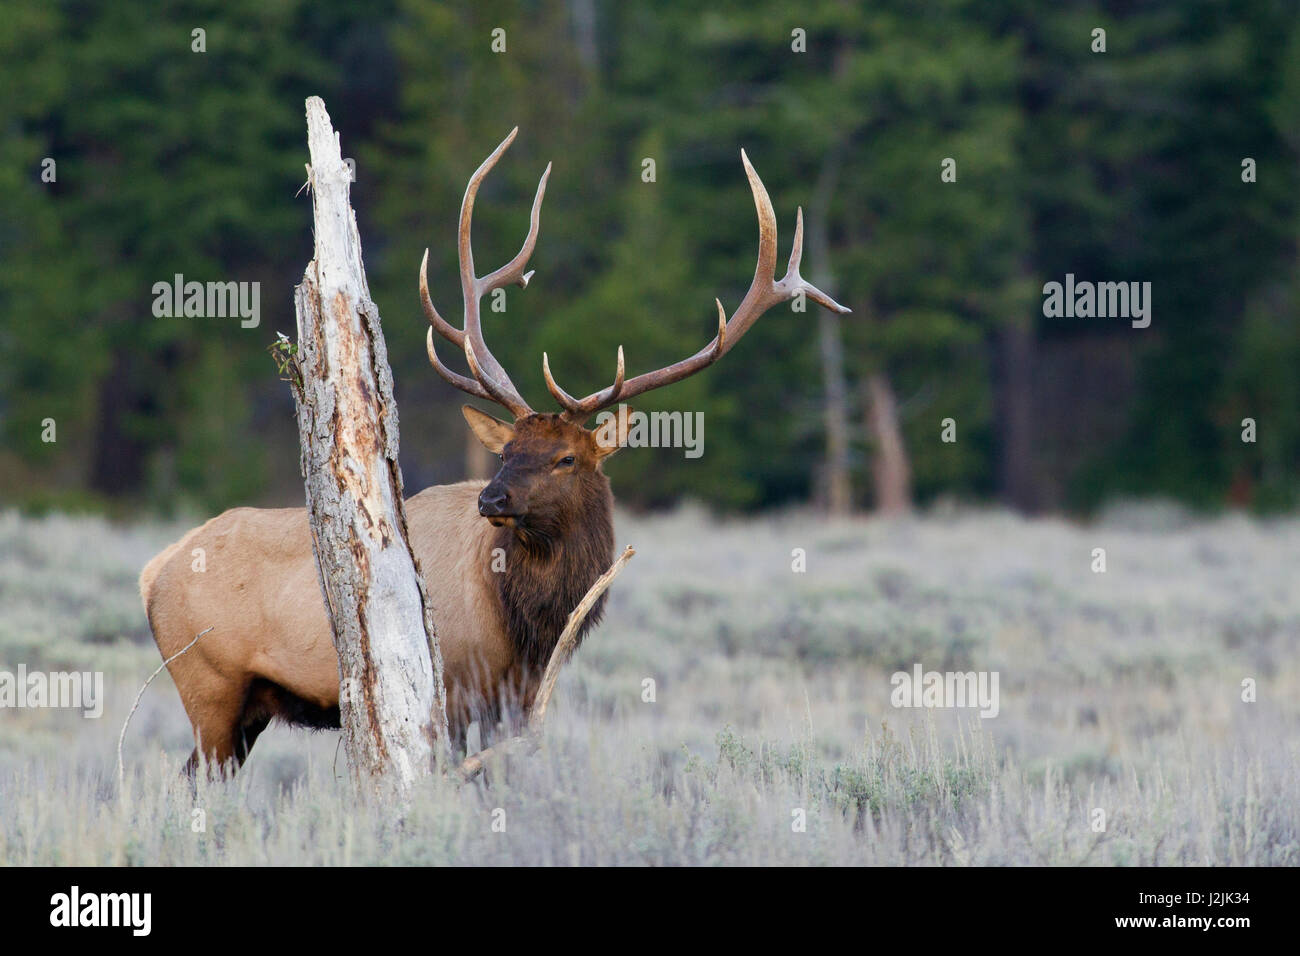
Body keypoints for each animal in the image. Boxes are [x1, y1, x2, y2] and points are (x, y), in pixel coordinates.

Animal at [139, 129, 848, 777]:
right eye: (507, 449)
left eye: (566, 458)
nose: (492, 496)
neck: (526, 625)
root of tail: (153, 571)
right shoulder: (451, 686)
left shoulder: (520, 696)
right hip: (209, 687)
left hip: (248, 708)